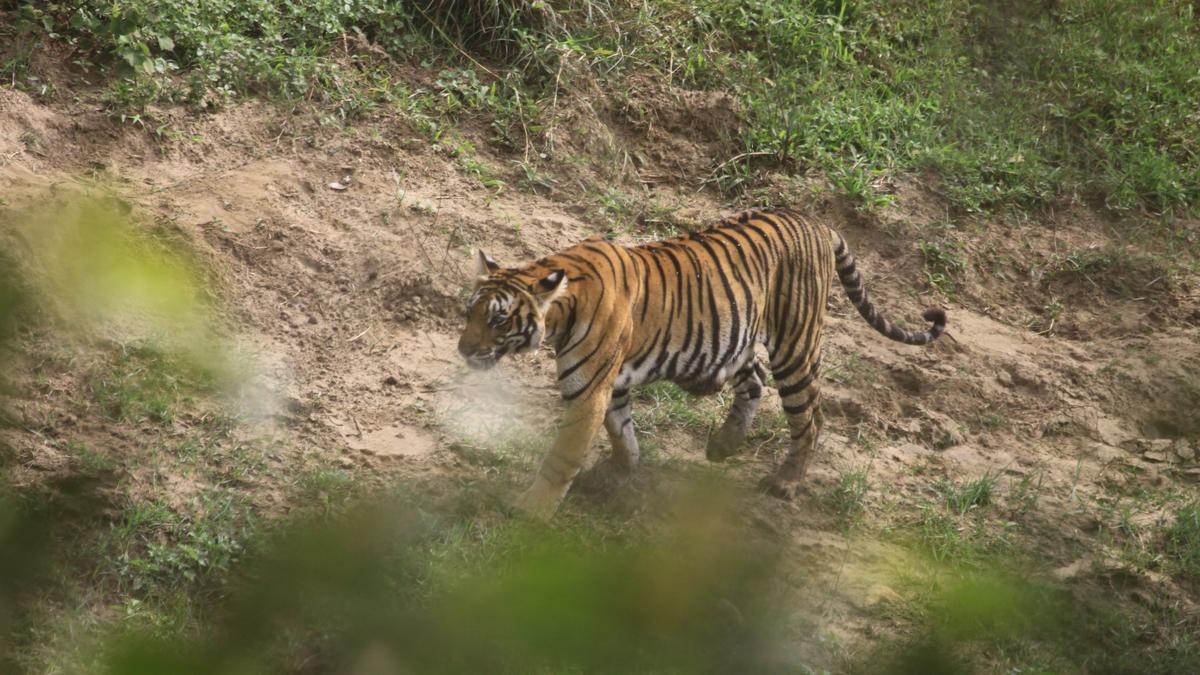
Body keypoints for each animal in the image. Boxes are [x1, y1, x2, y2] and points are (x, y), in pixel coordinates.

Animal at [457, 207, 946, 519]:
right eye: (470, 313)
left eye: (498, 319)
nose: (463, 350)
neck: (559, 308)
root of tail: (817, 223)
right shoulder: (611, 385)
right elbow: (621, 431)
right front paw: (619, 471)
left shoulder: (588, 389)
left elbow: (562, 456)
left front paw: (531, 510)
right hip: (735, 340)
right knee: (755, 379)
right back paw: (724, 445)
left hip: (796, 346)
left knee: (811, 416)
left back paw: (786, 482)